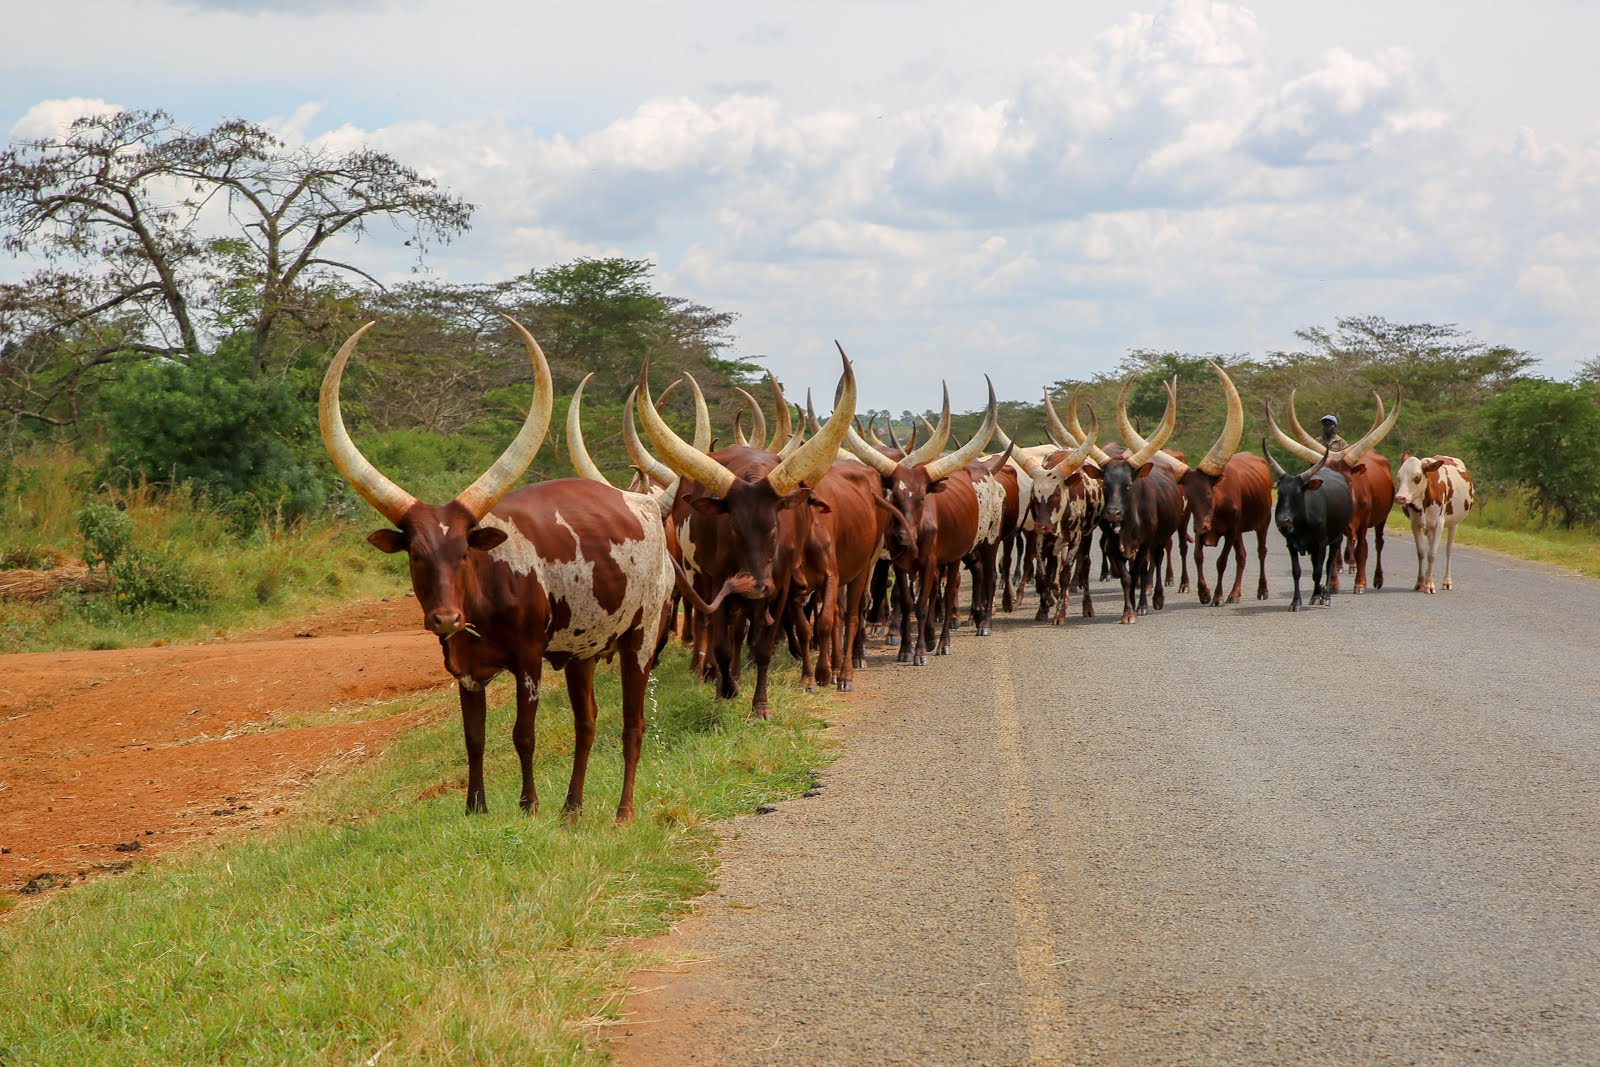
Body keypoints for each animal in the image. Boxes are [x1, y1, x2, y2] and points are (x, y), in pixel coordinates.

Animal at [320, 318, 746, 824]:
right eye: (416, 555)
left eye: (464, 552)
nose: (445, 618)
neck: (483, 595)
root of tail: (645, 504)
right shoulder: (465, 670)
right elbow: (475, 739)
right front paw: (476, 808)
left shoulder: (528, 660)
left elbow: (523, 735)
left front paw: (529, 806)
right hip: (583, 651)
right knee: (587, 723)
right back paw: (572, 809)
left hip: (640, 638)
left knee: (633, 724)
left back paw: (622, 812)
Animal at [1265, 440, 1352, 611]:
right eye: (1280, 492)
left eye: (1298, 493)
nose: (1283, 520)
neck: (1301, 524)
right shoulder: (1291, 545)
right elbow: (1297, 572)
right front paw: (1296, 602)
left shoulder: (1321, 543)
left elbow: (1318, 572)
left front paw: (1319, 595)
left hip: (1336, 538)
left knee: (1329, 565)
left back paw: (1326, 596)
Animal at [1393, 453, 1475, 593]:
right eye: (1399, 477)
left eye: (1417, 477)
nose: (1400, 498)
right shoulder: (1415, 524)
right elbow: (1421, 552)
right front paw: (1421, 583)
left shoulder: (1439, 524)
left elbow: (1432, 554)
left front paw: (1430, 584)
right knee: (1430, 545)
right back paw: (1427, 578)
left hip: (1454, 524)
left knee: (1448, 549)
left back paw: (1446, 581)